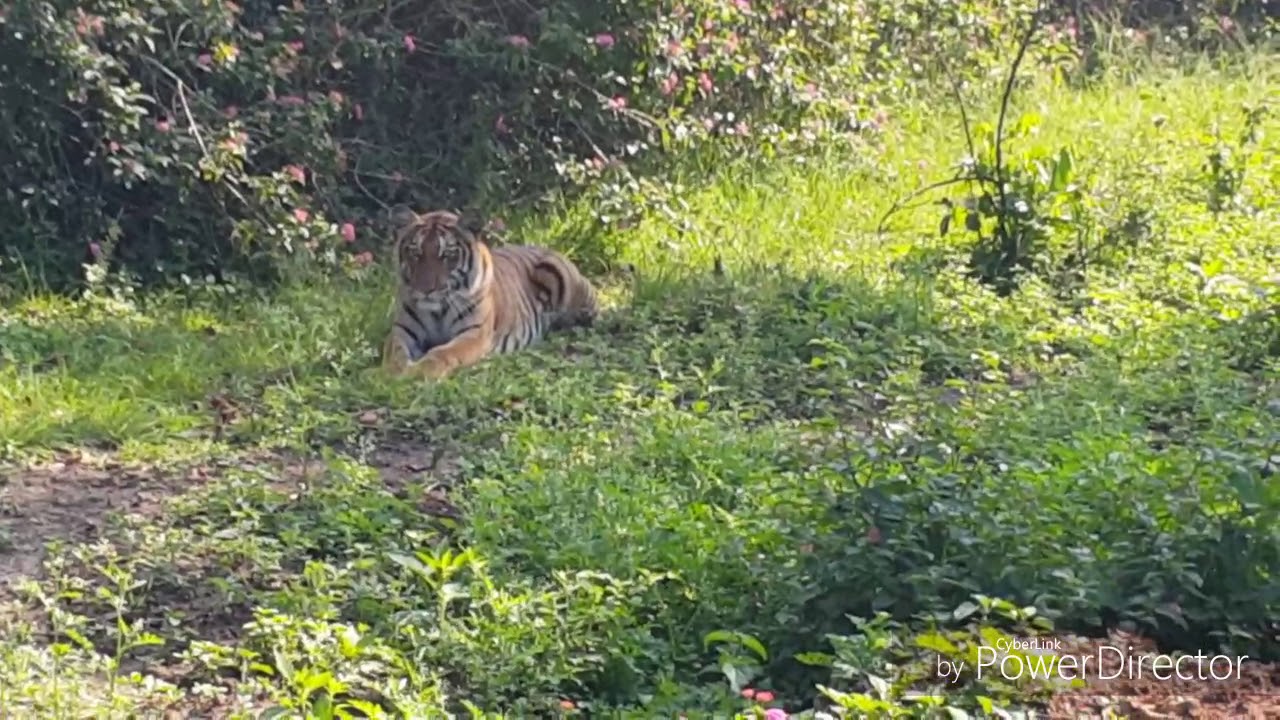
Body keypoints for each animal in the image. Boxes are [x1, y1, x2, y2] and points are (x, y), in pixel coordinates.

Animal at [381, 205, 599, 380]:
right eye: (414, 253)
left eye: (448, 255)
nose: (425, 290)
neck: (438, 311)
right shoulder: (402, 331)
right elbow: (395, 352)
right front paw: (393, 372)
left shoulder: (474, 334)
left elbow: (442, 352)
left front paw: (422, 371)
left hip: (557, 270)